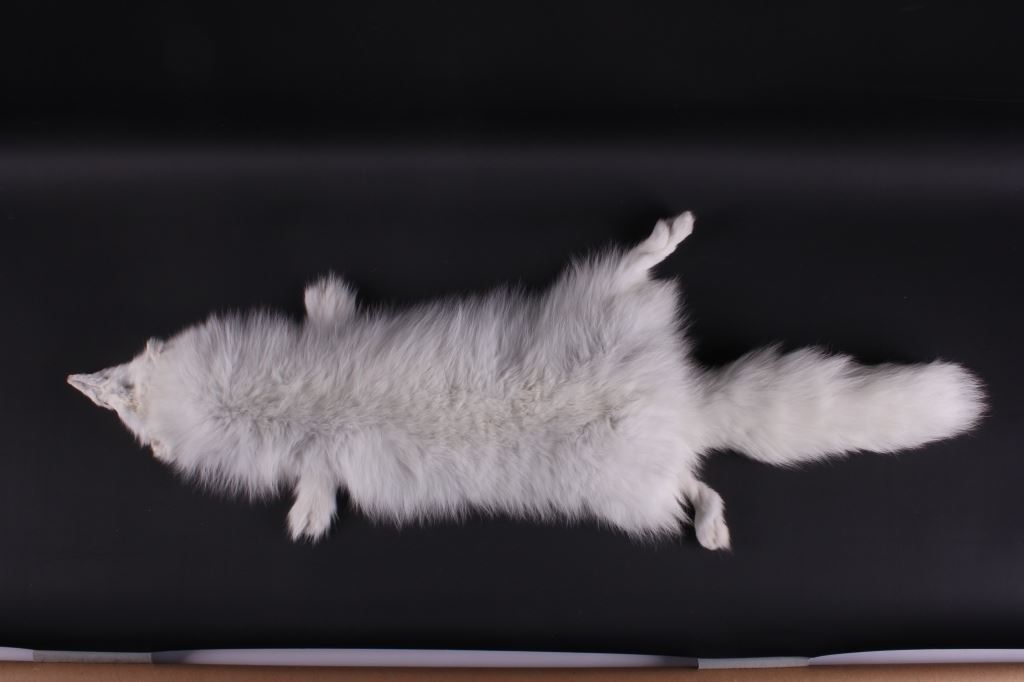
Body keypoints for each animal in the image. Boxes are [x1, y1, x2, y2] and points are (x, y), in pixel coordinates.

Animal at [68, 213, 985, 549]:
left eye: (125, 391)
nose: (83, 379)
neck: (272, 398)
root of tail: (685, 402)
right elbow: (319, 485)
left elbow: (325, 330)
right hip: (638, 487)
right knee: (698, 486)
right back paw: (714, 524)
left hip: (602, 303)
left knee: (633, 265)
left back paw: (667, 232)